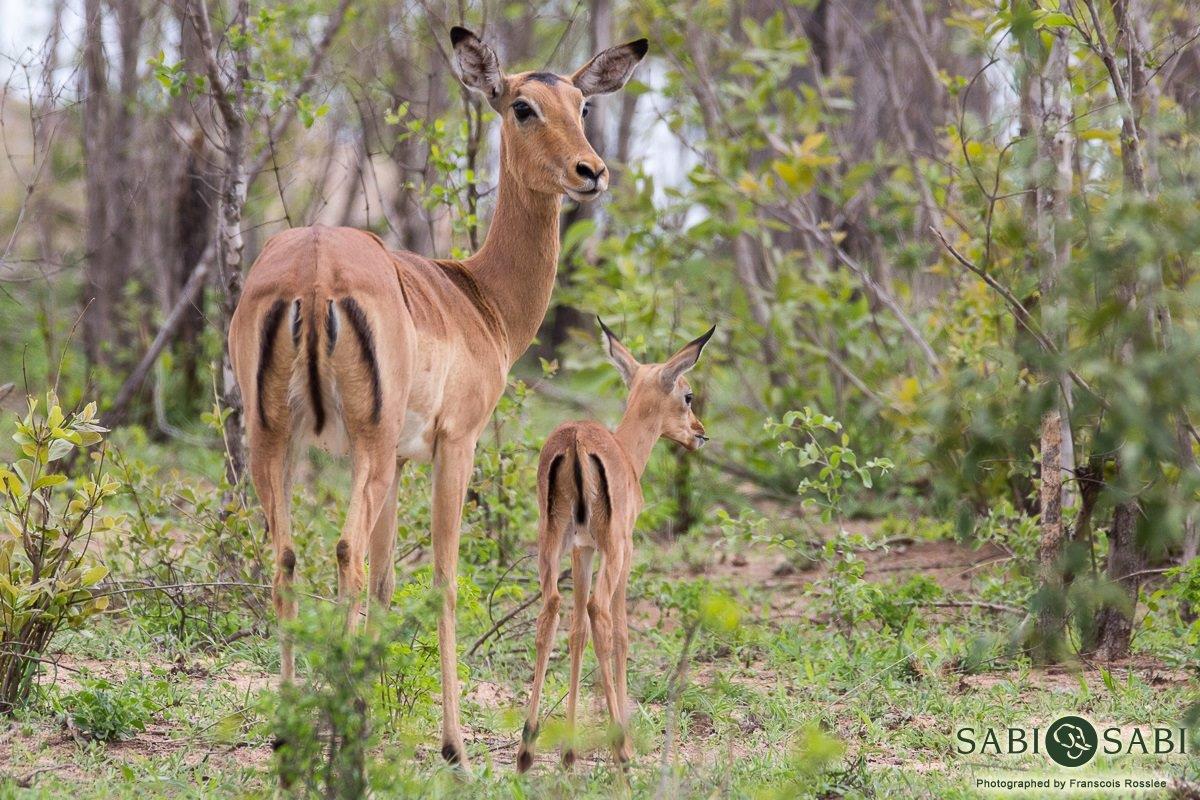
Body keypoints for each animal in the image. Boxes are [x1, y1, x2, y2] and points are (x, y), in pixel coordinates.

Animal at [226, 27, 647, 767]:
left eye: (583, 104)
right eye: (521, 106)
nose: (591, 171)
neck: (478, 299)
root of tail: (311, 271)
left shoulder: (398, 459)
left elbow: (390, 579)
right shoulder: (456, 441)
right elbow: (444, 579)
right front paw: (453, 745)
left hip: (273, 438)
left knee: (288, 559)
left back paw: (289, 733)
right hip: (361, 442)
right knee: (344, 552)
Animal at [517, 319, 715, 772]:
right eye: (687, 394)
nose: (700, 434)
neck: (627, 452)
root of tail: (575, 439)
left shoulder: (582, 550)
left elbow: (575, 634)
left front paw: (569, 752)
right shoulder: (624, 549)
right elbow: (622, 634)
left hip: (550, 543)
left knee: (551, 612)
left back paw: (527, 747)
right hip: (610, 550)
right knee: (600, 614)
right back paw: (622, 750)